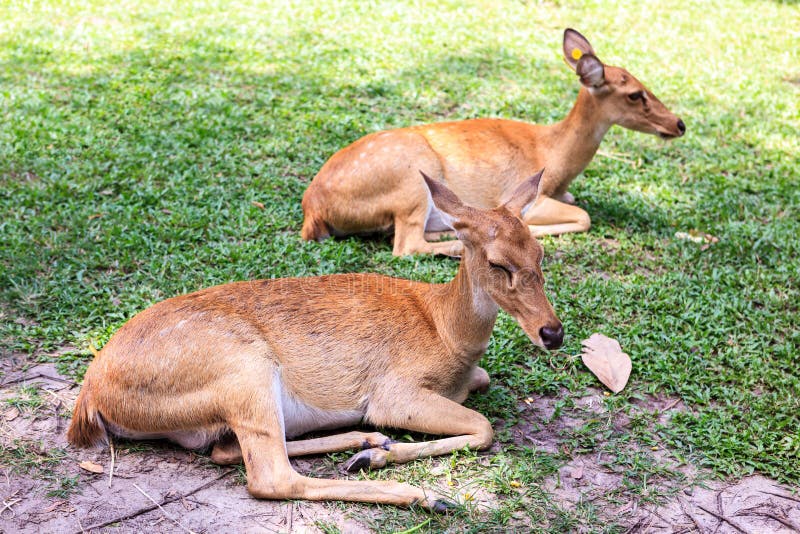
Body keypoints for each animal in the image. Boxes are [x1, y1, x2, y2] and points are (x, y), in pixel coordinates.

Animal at [67, 171, 563, 511]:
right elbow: (484, 427)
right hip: (244, 369)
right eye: (498, 263)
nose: (553, 333)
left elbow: (483, 391)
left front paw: (377, 451)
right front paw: (385, 459)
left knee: (227, 451)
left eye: (540, 253)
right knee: (269, 477)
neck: (446, 333)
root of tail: (91, 398)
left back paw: (367, 443)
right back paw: (420, 492)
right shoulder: (394, 391)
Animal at [301, 28, 685, 256]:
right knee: (406, 245)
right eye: (635, 94)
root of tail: (313, 209)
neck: (557, 158)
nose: (679, 124)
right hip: (410, 180)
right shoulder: (528, 195)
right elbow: (584, 216)